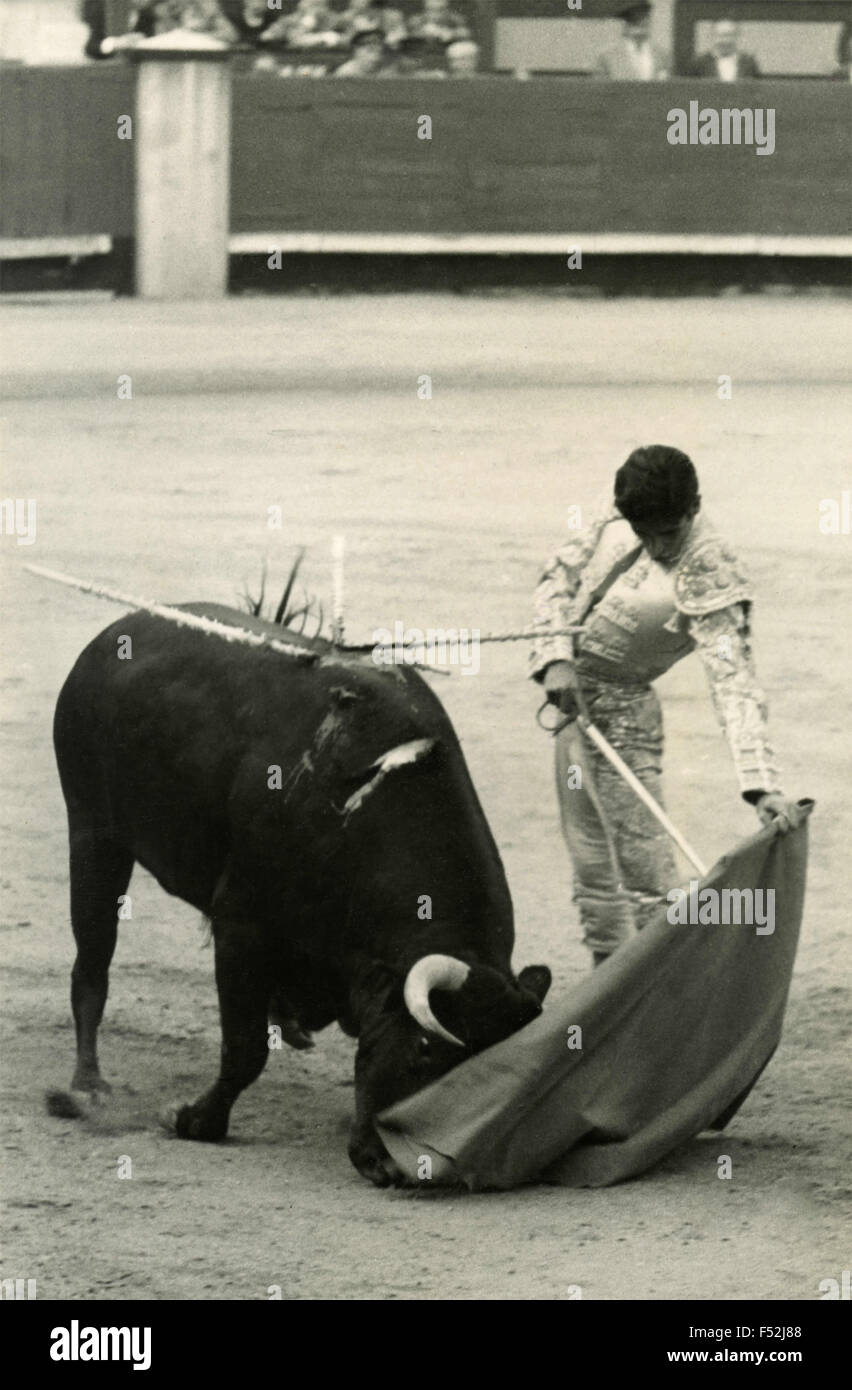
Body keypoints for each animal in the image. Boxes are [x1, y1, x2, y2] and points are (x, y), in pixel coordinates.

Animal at [52, 603, 551, 1186]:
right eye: (422, 1055)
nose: (394, 1169)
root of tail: (115, 633)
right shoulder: (241, 926)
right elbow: (244, 1050)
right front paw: (194, 1119)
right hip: (93, 832)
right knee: (92, 965)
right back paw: (85, 1086)